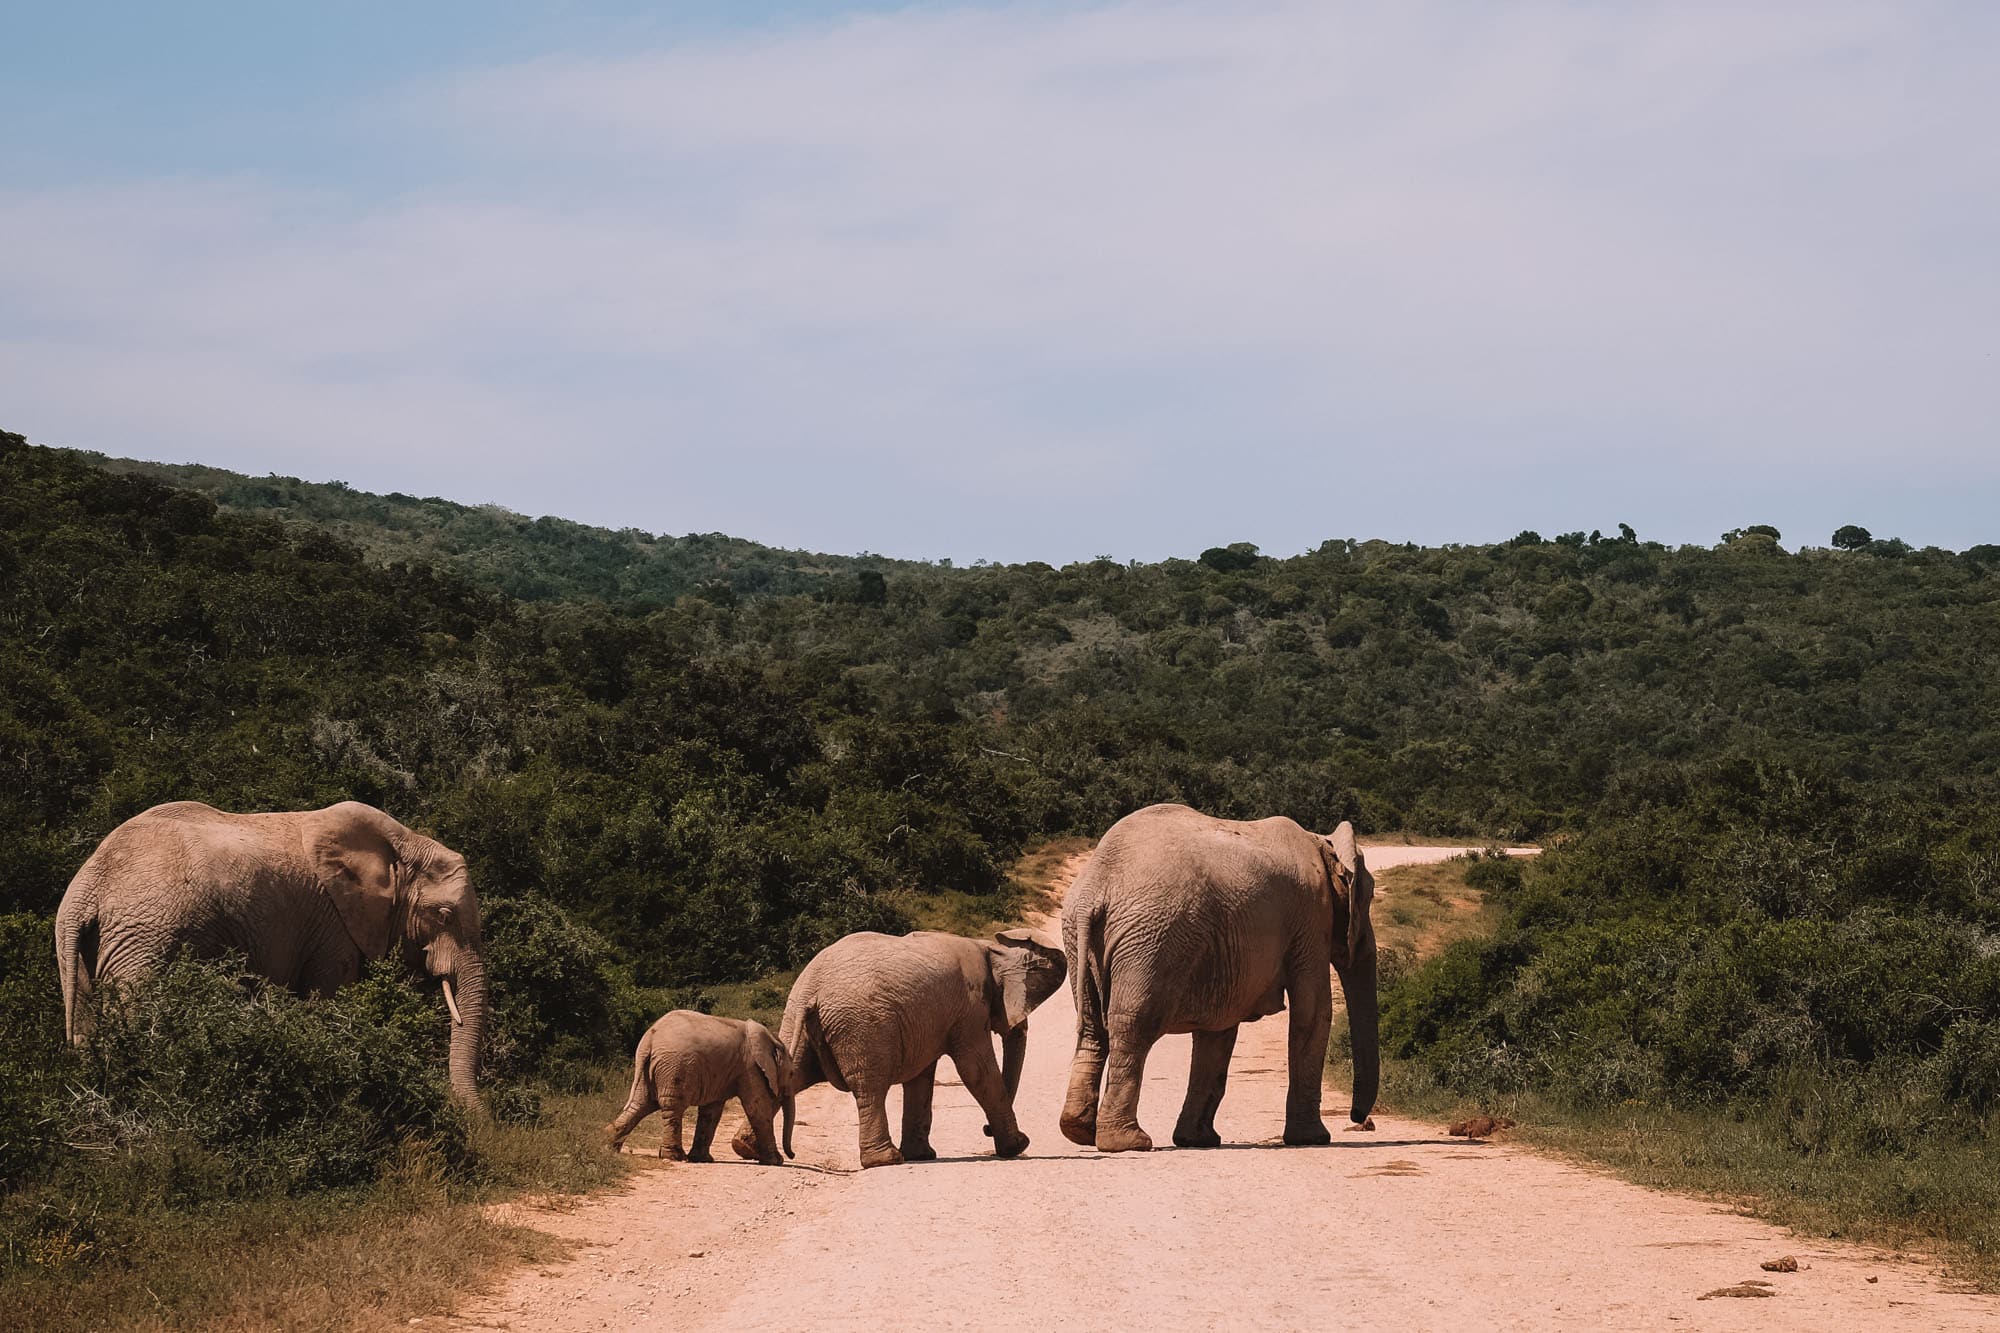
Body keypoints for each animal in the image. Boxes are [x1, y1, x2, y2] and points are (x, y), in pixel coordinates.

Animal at [53, 800, 489, 1107]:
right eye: (444, 915)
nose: (474, 1117)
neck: (403, 842)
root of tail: (87, 886)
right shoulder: (333, 923)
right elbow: (329, 997)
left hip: (83, 949)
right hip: (147, 939)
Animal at [604, 1010, 797, 1165]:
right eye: (792, 1074)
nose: (792, 1155)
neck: (772, 1039)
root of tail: (649, 1040)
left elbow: (712, 1111)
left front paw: (702, 1159)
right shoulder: (750, 1067)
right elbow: (757, 1108)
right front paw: (775, 1162)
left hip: (652, 1070)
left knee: (640, 1104)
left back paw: (606, 1144)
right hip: (675, 1066)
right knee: (672, 1107)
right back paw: (675, 1157)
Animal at [751, 928, 1065, 1169]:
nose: (985, 1131)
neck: (990, 946)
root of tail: (810, 987)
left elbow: (921, 1079)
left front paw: (923, 1155)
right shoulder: (970, 1007)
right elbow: (975, 1070)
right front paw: (1018, 1146)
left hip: (799, 1021)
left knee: (790, 1077)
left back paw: (750, 1150)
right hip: (861, 1026)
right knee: (870, 1087)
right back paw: (886, 1160)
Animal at [1059, 804, 1376, 1153]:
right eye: (1369, 898)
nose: (1360, 1119)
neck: (1322, 842)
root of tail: (1095, 889)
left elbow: (1218, 1028)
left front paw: (1196, 1140)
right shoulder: (1311, 916)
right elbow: (1313, 1013)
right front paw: (1314, 1139)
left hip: (1082, 938)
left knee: (1093, 1026)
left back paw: (1079, 1131)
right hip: (1153, 939)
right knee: (1133, 1027)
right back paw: (1128, 1141)